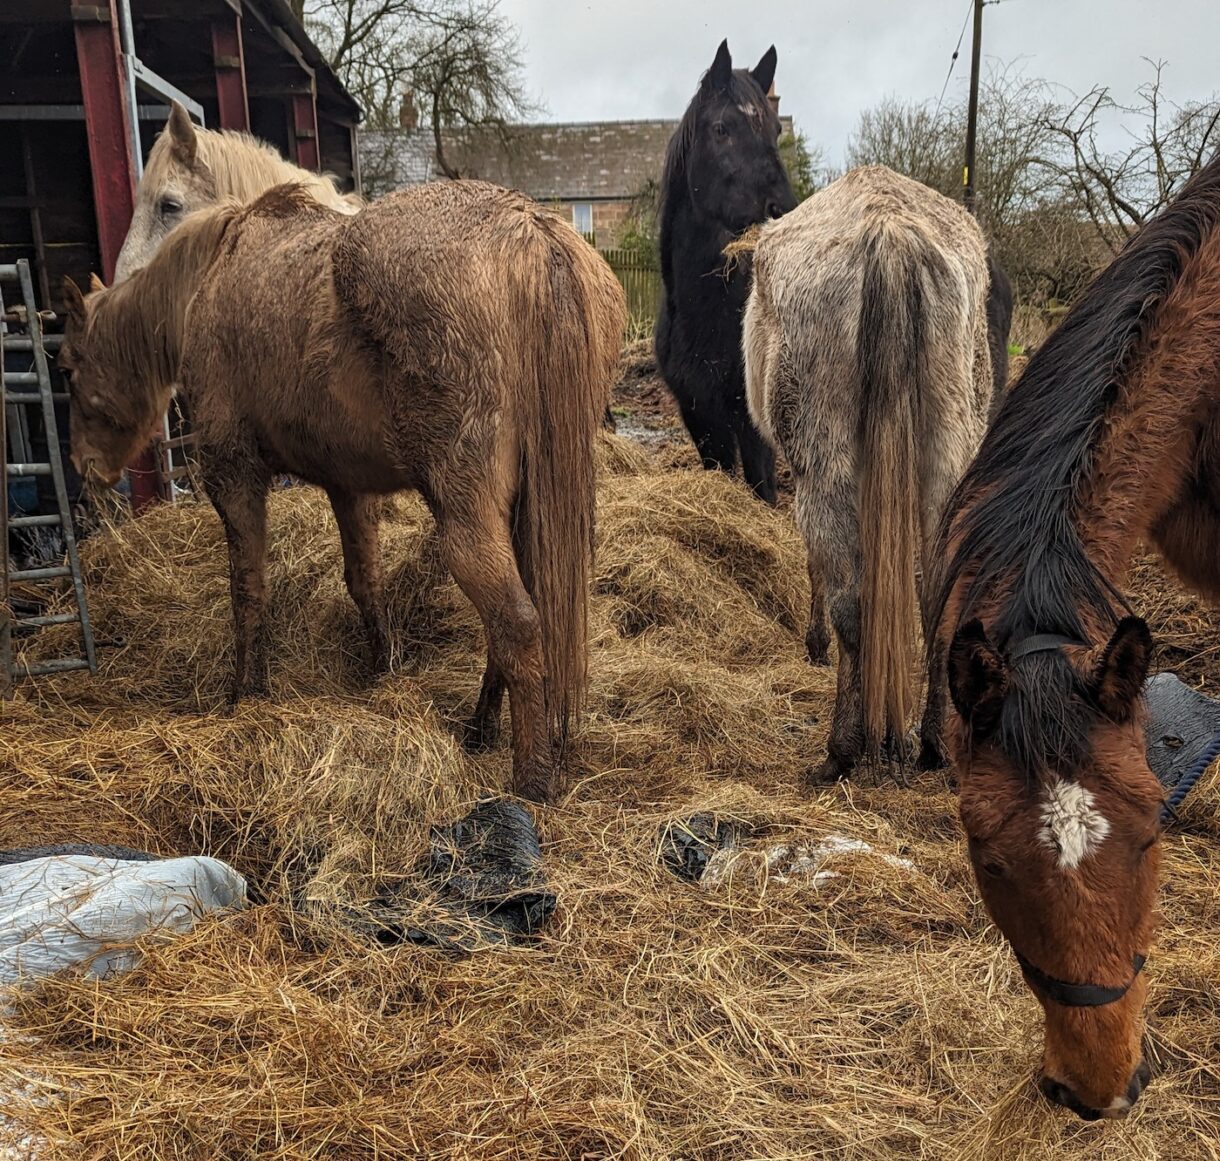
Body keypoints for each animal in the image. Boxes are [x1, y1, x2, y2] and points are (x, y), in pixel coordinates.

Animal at [60, 183, 626, 805]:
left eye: (66, 368)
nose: (84, 469)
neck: (214, 273)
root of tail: (532, 235)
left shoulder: (233, 476)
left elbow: (248, 590)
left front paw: (244, 694)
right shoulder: (349, 488)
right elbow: (365, 584)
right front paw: (386, 670)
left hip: (467, 519)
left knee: (518, 624)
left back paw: (531, 781)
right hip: (521, 513)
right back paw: (480, 730)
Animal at [655, 39, 796, 505]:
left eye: (775, 130)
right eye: (722, 129)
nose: (783, 208)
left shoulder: (750, 421)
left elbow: (762, 487)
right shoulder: (699, 414)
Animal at [742, 166, 993, 783]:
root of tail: (890, 233)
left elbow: (817, 568)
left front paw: (814, 645)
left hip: (825, 468)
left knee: (850, 604)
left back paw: (842, 748)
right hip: (947, 456)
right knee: (940, 601)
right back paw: (932, 745)